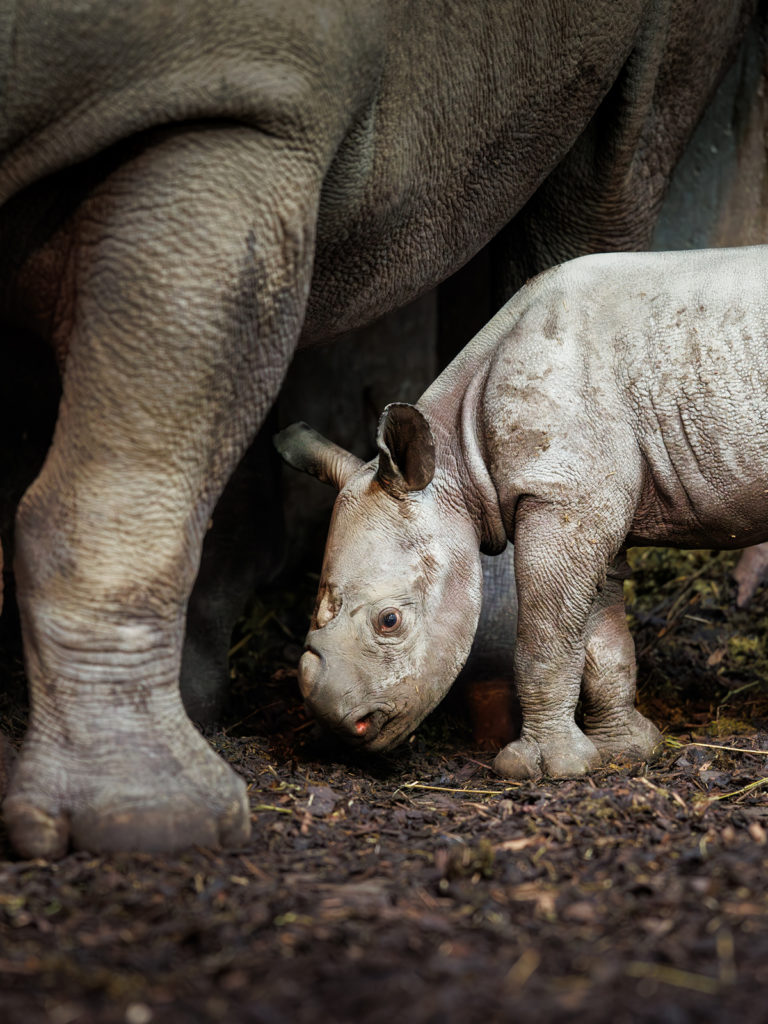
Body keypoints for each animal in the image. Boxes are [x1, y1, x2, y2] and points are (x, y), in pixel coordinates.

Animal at [277, 244, 768, 777]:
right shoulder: (589, 506)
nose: (343, 723)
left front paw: (541, 768)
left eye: (389, 621)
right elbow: (600, 638)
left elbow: (544, 639)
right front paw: (622, 752)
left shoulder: (562, 494)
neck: (455, 455)